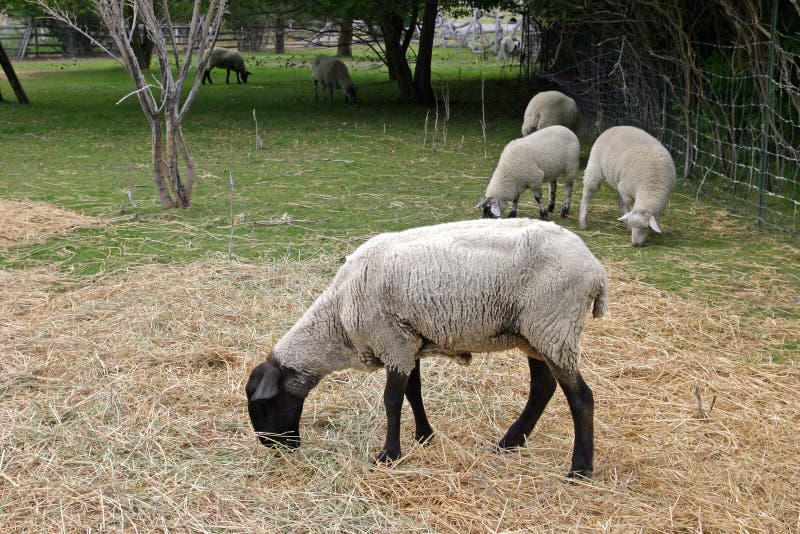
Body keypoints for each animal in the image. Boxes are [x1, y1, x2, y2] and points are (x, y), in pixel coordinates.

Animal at [246, 218, 608, 479]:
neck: (338, 317)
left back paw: (579, 469)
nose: (271, 446)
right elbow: (413, 392)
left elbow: (392, 400)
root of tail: (596, 270)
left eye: (262, 405)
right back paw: (510, 442)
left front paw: (388, 455)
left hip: (555, 327)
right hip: (536, 334)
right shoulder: (407, 342)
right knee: (542, 388)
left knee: (581, 398)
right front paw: (424, 436)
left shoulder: (392, 340)